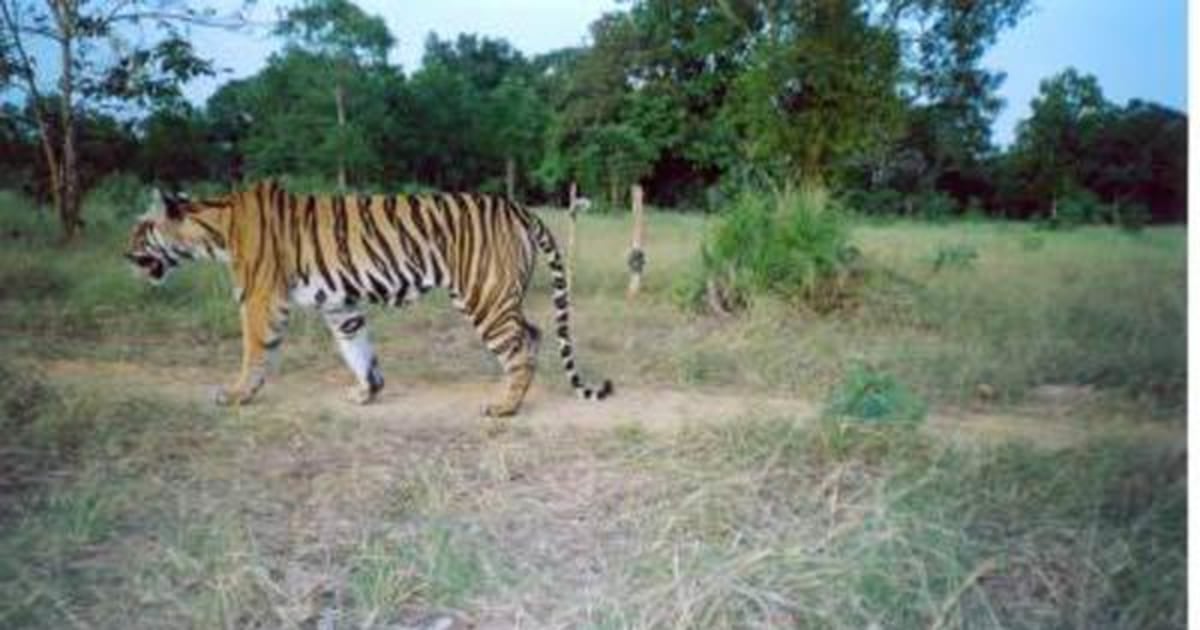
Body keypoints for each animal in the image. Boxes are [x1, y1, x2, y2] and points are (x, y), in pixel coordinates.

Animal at [124, 179, 612, 417]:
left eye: (141, 227)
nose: (124, 253)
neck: (215, 229)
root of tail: (519, 207)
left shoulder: (259, 299)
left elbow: (253, 352)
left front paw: (236, 395)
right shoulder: (340, 305)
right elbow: (357, 349)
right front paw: (367, 393)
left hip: (484, 295)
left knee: (520, 345)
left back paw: (504, 407)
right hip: (499, 296)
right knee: (534, 332)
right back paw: (512, 397)